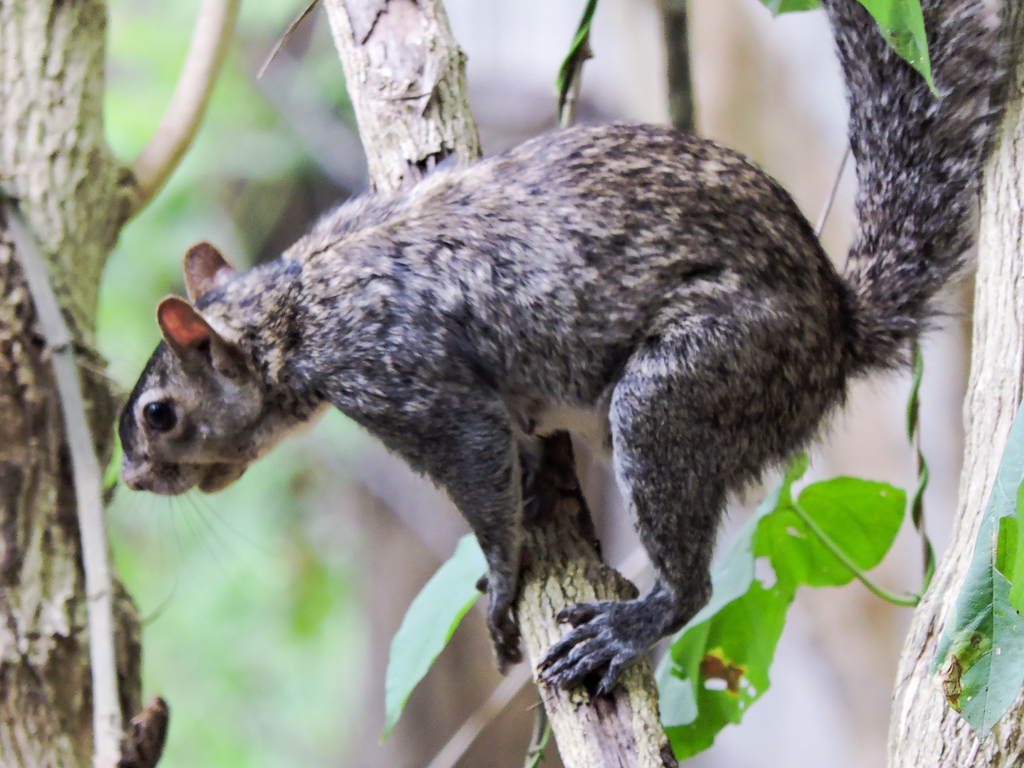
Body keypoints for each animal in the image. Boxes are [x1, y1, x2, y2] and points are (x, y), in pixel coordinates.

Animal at [119, 0, 1004, 695]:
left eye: (159, 414)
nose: (131, 481)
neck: (294, 306)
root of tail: (836, 336)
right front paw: (537, 485)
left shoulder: (405, 382)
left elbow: (480, 472)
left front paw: (502, 584)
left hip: (684, 390)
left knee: (692, 585)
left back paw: (627, 626)